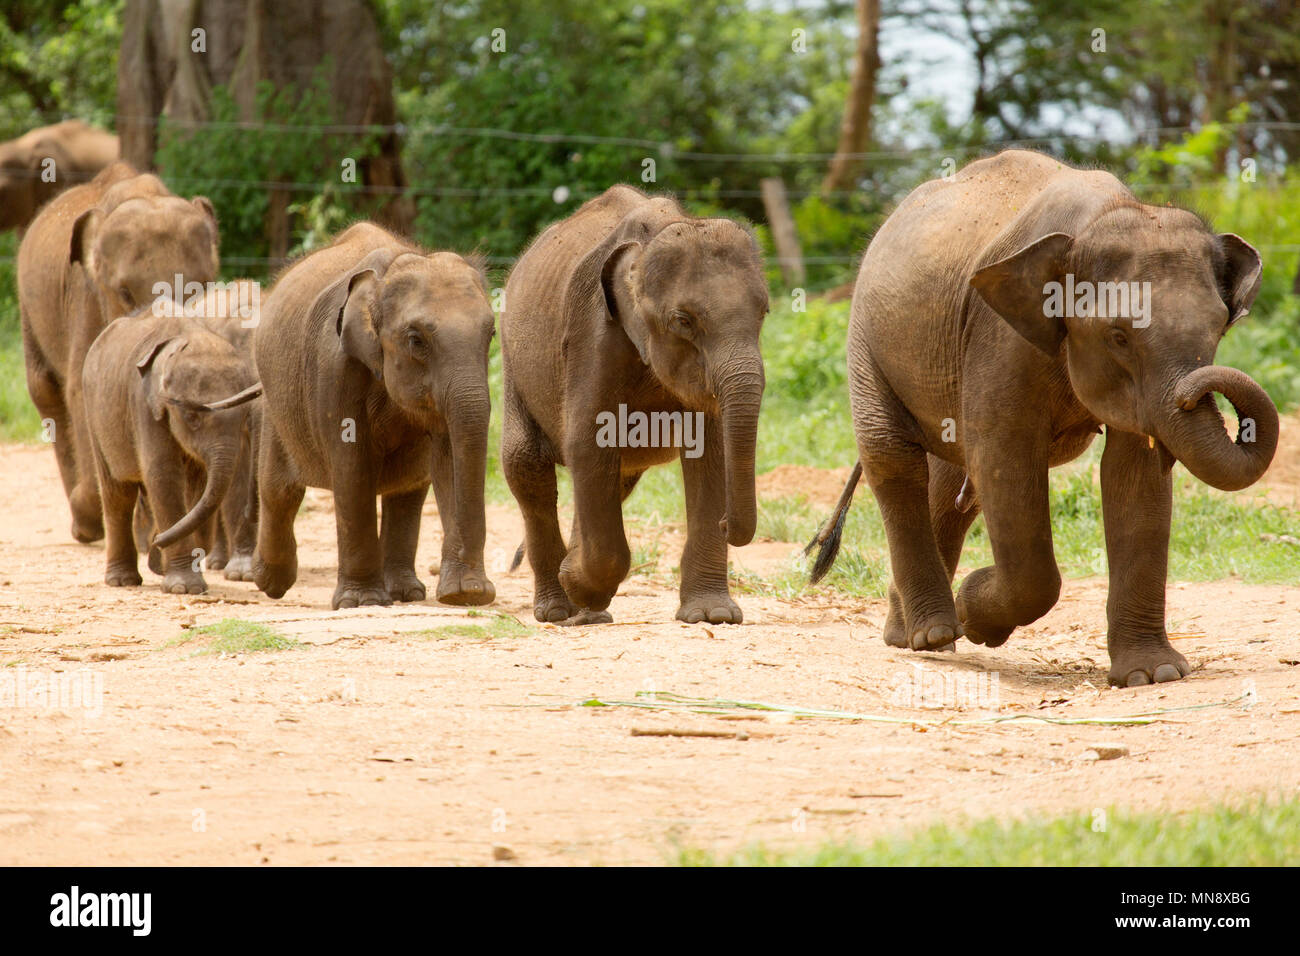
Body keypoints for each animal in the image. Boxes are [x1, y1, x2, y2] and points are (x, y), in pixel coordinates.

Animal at [17, 161, 220, 544]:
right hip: (28, 312)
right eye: (124, 293)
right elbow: (81, 391)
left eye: (202, 288)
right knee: (46, 392)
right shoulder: (86, 298)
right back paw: (84, 526)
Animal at [82, 313, 261, 594]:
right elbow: (163, 474)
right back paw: (122, 581)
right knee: (117, 493)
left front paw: (167, 568)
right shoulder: (144, 405)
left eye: (243, 416)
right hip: (95, 416)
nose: (156, 543)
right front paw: (183, 588)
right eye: (191, 418)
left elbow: (198, 487)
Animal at [252, 222, 497, 610]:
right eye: (416, 340)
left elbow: (450, 458)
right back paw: (270, 583)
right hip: (276, 407)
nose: (478, 591)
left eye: (491, 334)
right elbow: (352, 465)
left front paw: (464, 594)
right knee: (279, 489)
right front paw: (362, 601)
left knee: (407, 491)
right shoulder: (334, 366)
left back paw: (406, 594)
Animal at [501, 185, 768, 626]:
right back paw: (558, 609)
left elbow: (710, 452)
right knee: (526, 465)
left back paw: (585, 612)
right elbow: (588, 441)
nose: (727, 523)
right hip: (513, 366)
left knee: (614, 481)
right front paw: (579, 584)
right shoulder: (591, 328)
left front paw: (712, 616)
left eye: (764, 312)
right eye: (683, 321)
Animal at [808, 149, 1279, 687]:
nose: (1196, 390)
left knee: (950, 483)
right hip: (866, 337)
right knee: (893, 458)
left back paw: (914, 635)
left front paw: (1153, 675)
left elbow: (1132, 474)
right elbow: (1005, 459)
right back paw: (935, 632)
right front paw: (976, 613)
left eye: (1219, 327)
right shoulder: (1000, 336)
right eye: (1118, 336)